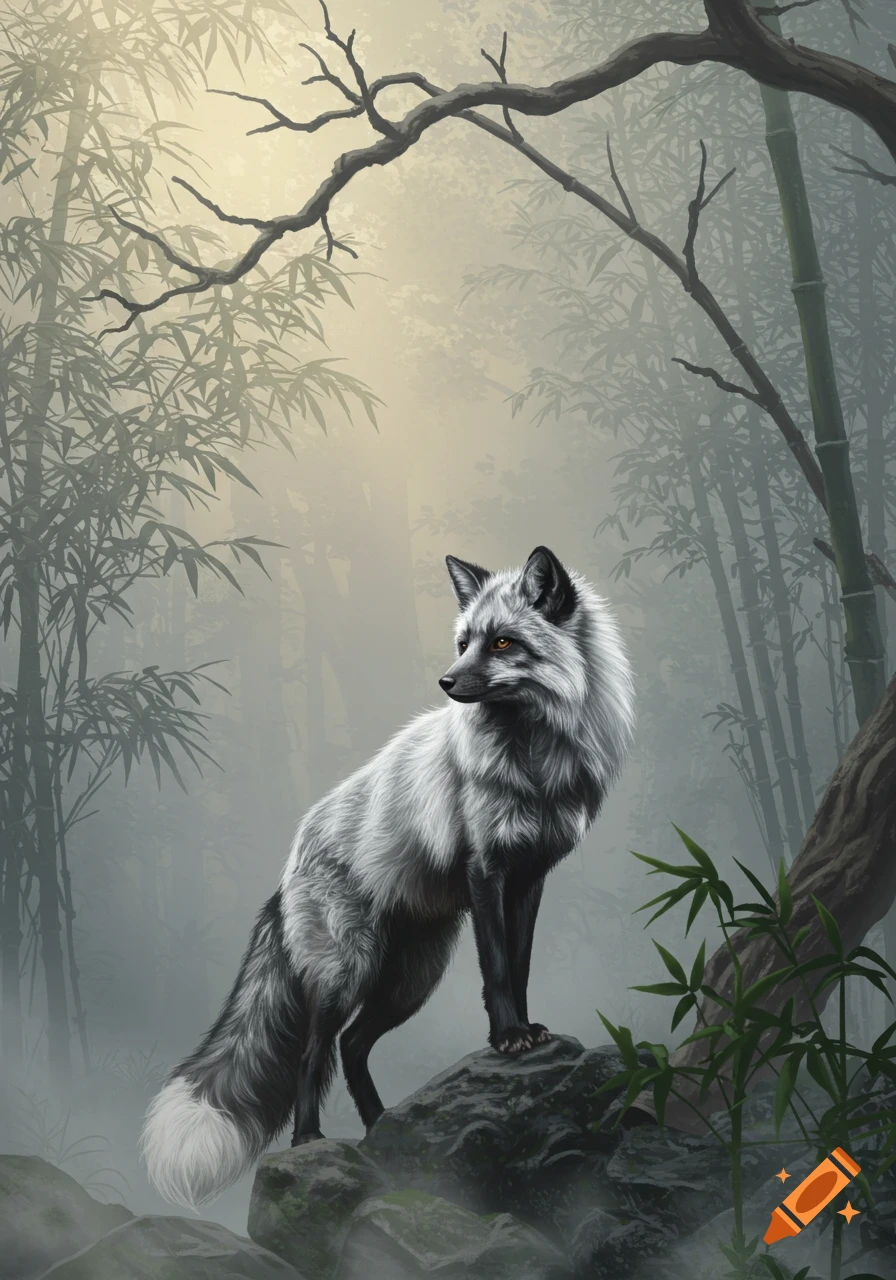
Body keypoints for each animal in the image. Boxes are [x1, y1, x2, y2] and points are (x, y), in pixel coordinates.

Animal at [141, 545, 634, 1211]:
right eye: (463, 643)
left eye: (503, 643)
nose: (446, 683)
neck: (533, 762)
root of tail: (288, 867)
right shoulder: (485, 870)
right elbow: (498, 968)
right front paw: (507, 1036)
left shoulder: (531, 876)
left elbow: (520, 963)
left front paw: (526, 1032)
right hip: (346, 973)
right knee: (315, 1053)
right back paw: (309, 1140)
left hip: (409, 979)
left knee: (353, 1048)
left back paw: (384, 1132)